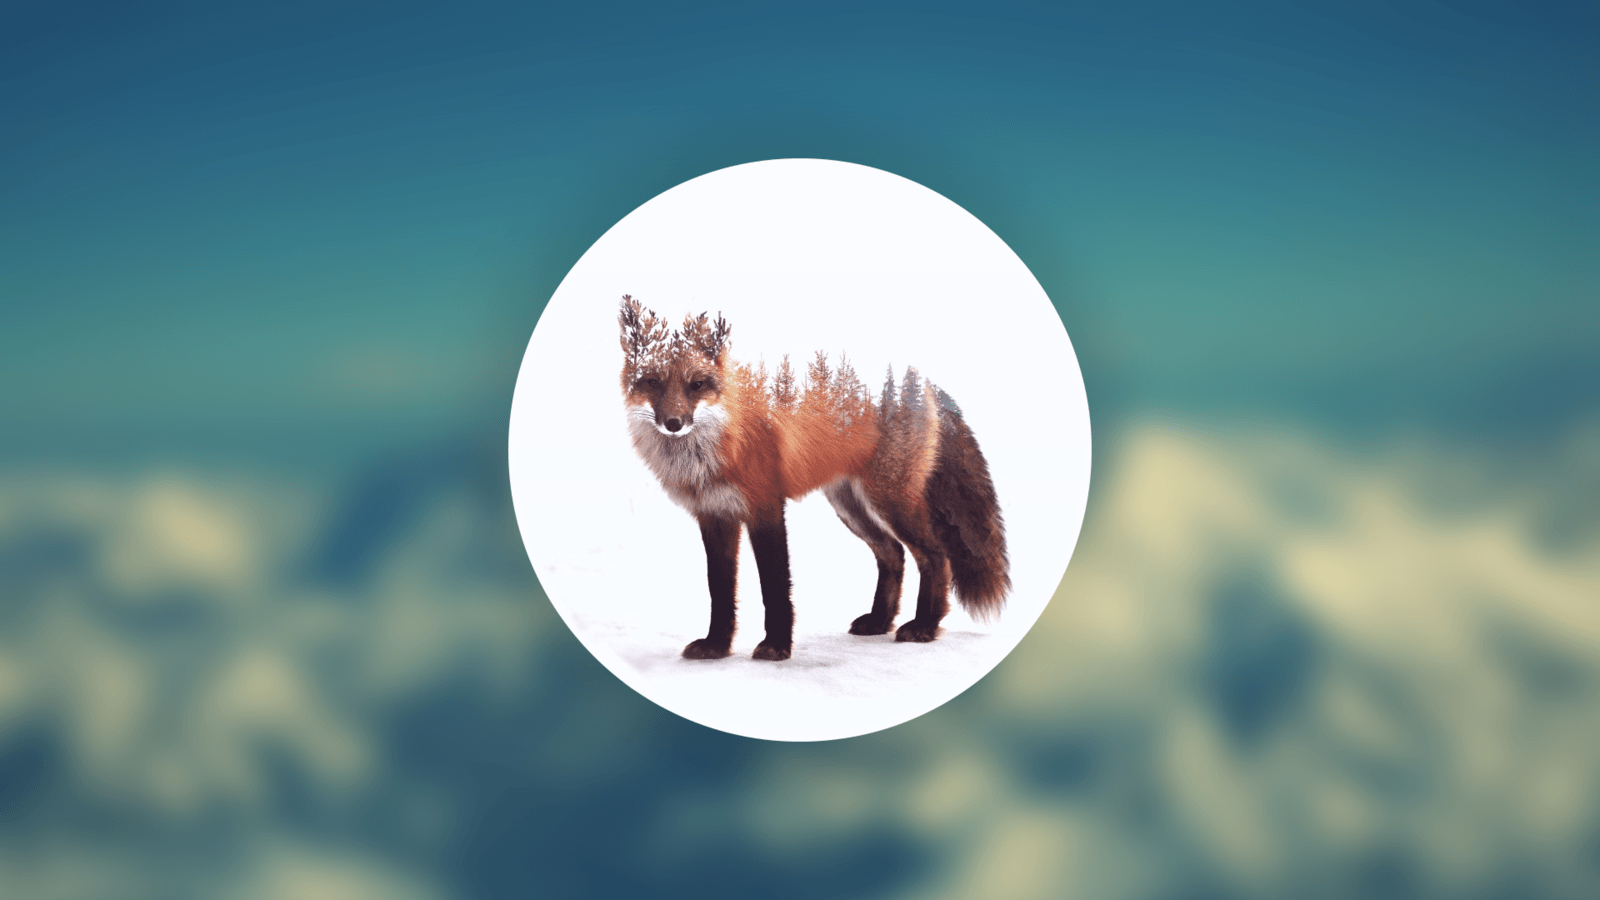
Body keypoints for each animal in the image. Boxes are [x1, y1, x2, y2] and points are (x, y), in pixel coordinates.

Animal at [619, 295, 1009, 661]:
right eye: (652, 382)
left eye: (696, 385)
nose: (673, 423)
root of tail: (917, 375)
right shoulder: (715, 515)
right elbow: (720, 590)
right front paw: (717, 646)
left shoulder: (765, 507)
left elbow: (775, 586)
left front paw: (776, 647)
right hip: (851, 506)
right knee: (892, 554)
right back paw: (880, 621)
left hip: (890, 501)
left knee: (935, 556)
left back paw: (925, 626)